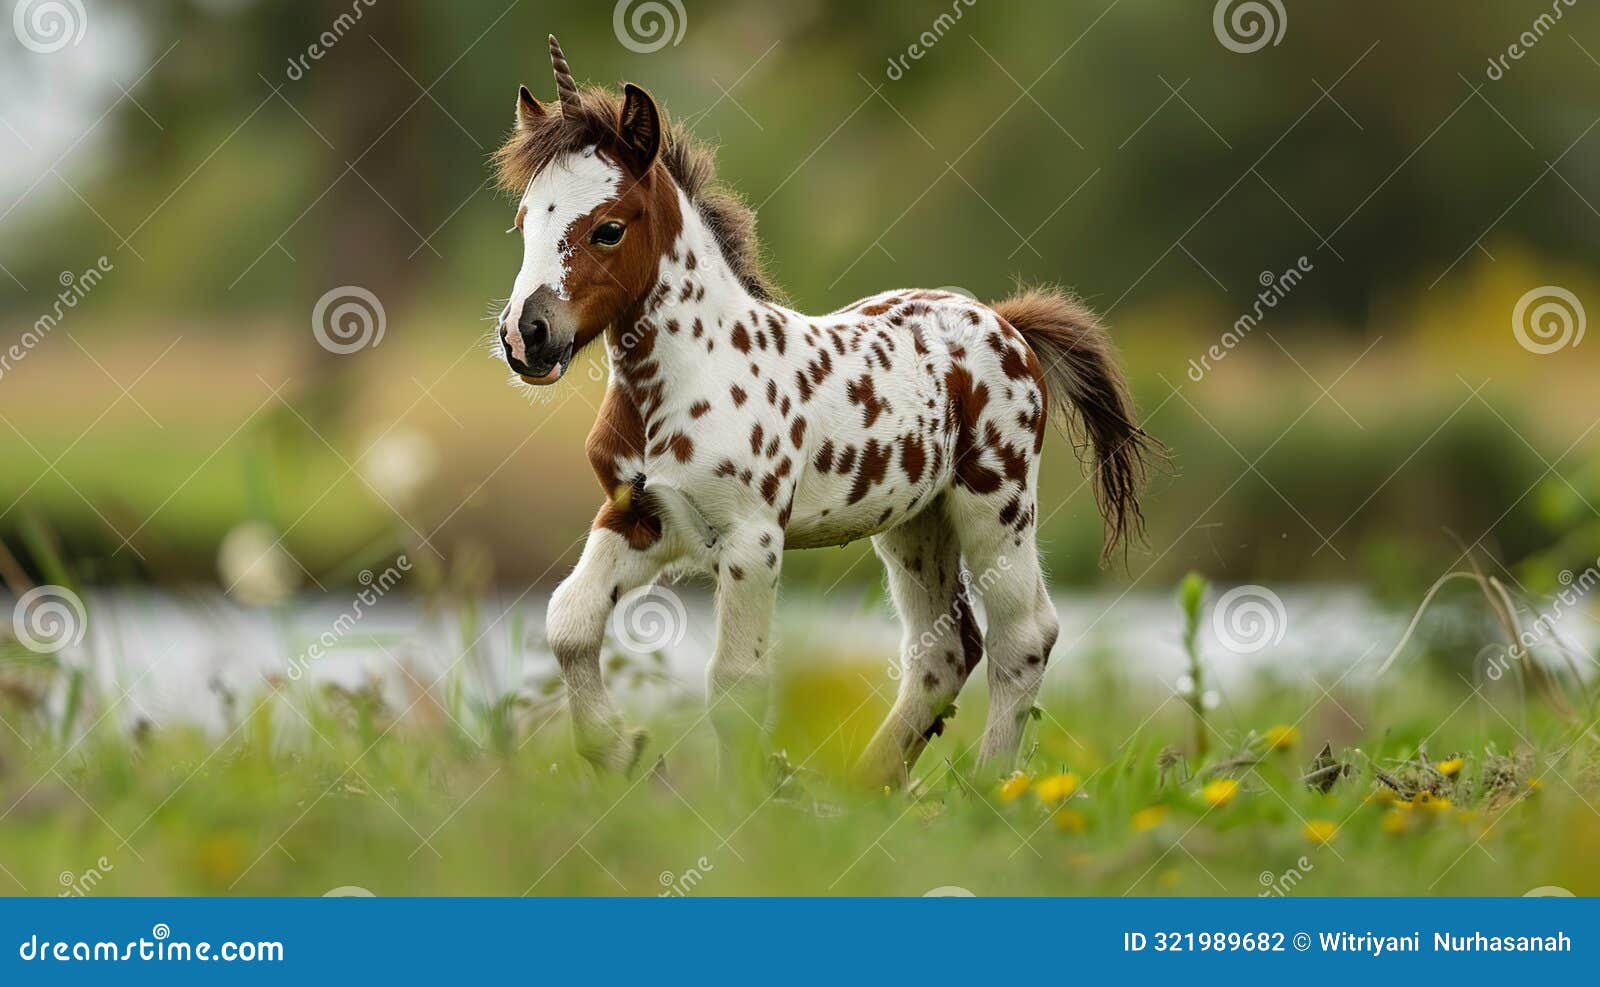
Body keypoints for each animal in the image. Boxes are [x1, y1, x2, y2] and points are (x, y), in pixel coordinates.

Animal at [490, 36, 1154, 785]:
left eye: (607, 229)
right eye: (523, 221)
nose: (526, 335)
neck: (691, 374)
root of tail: (1006, 320)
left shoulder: (752, 539)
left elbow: (736, 681)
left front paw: (736, 797)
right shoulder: (639, 515)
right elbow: (569, 623)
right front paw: (623, 751)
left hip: (995, 507)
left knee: (1024, 636)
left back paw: (987, 784)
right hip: (915, 525)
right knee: (946, 648)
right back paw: (869, 786)